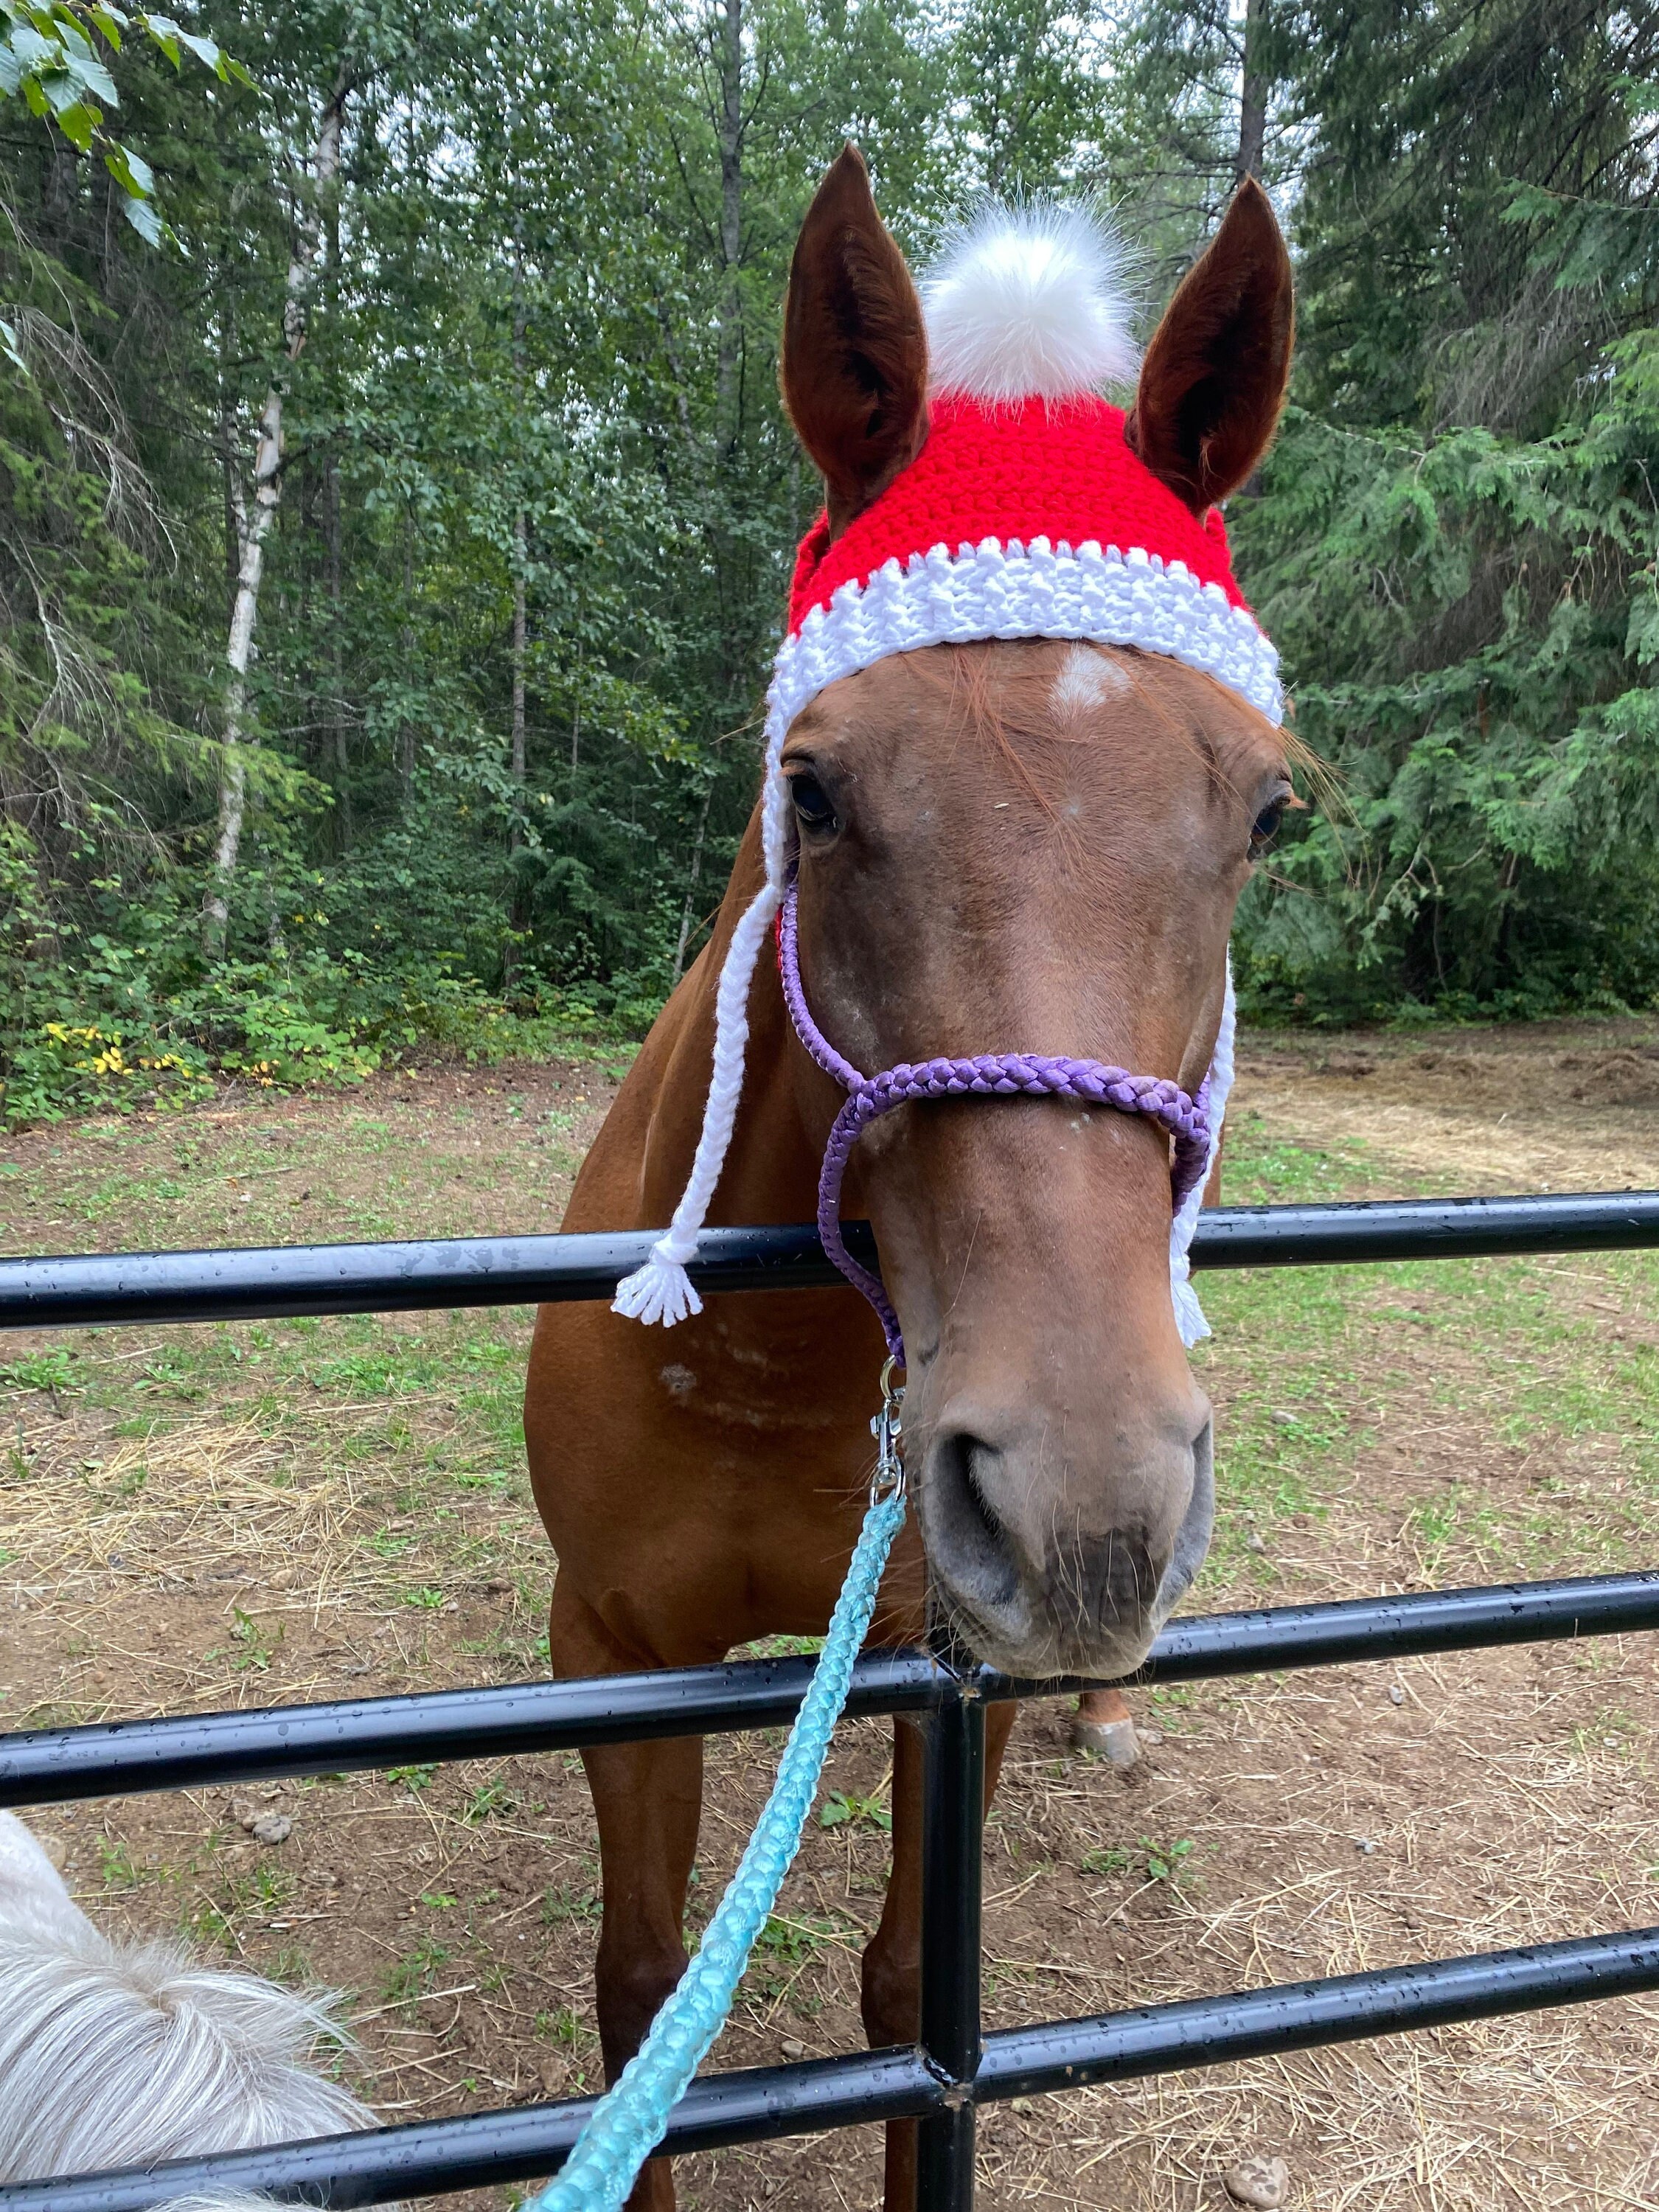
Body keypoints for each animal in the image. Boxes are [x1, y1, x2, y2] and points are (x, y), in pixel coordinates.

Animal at [525, 146, 1294, 2211]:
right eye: (813, 786)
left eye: (1269, 811)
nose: (1083, 1509)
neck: (782, 1363)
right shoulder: (619, 1657)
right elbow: (643, 2000)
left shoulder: (952, 1675)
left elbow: (901, 2003)